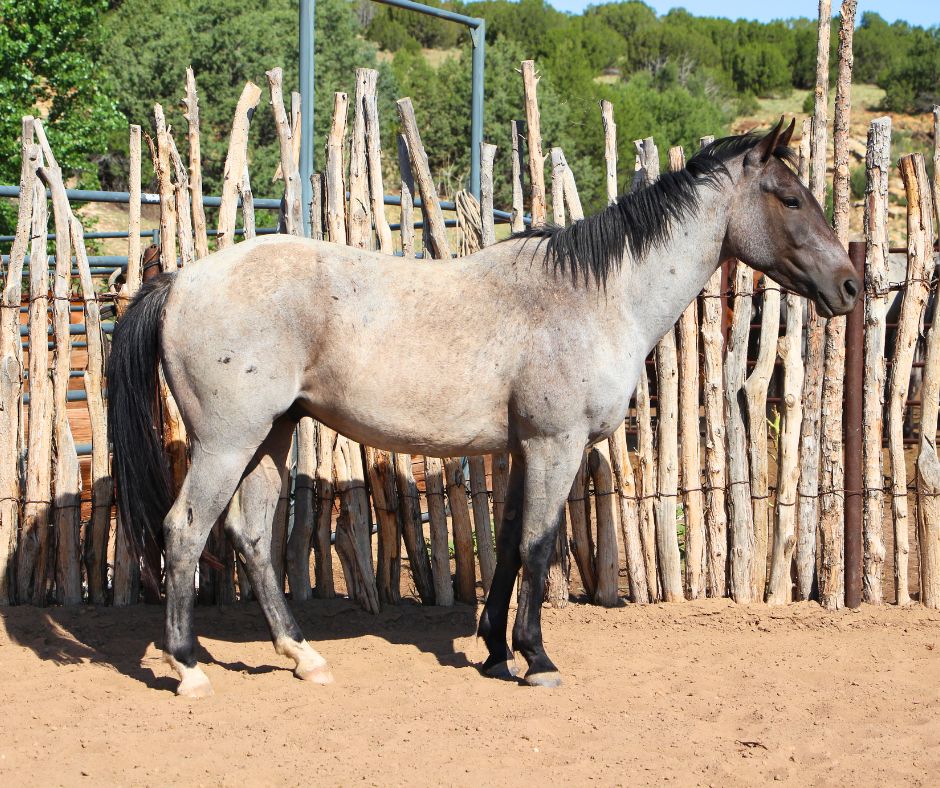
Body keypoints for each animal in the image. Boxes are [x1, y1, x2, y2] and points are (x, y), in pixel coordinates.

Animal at [108, 118, 860, 697]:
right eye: (791, 198)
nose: (851, 285)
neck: (593, 297)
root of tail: (180, 281)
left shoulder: (525, 450)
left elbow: (508, 543)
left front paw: (497, 651)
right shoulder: (556, 444)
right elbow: (538, 544)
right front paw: (537, 658)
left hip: (271, 436)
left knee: (251, 534)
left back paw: (303, 656)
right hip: (227, 442)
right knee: (184, 530)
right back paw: (188, 668)